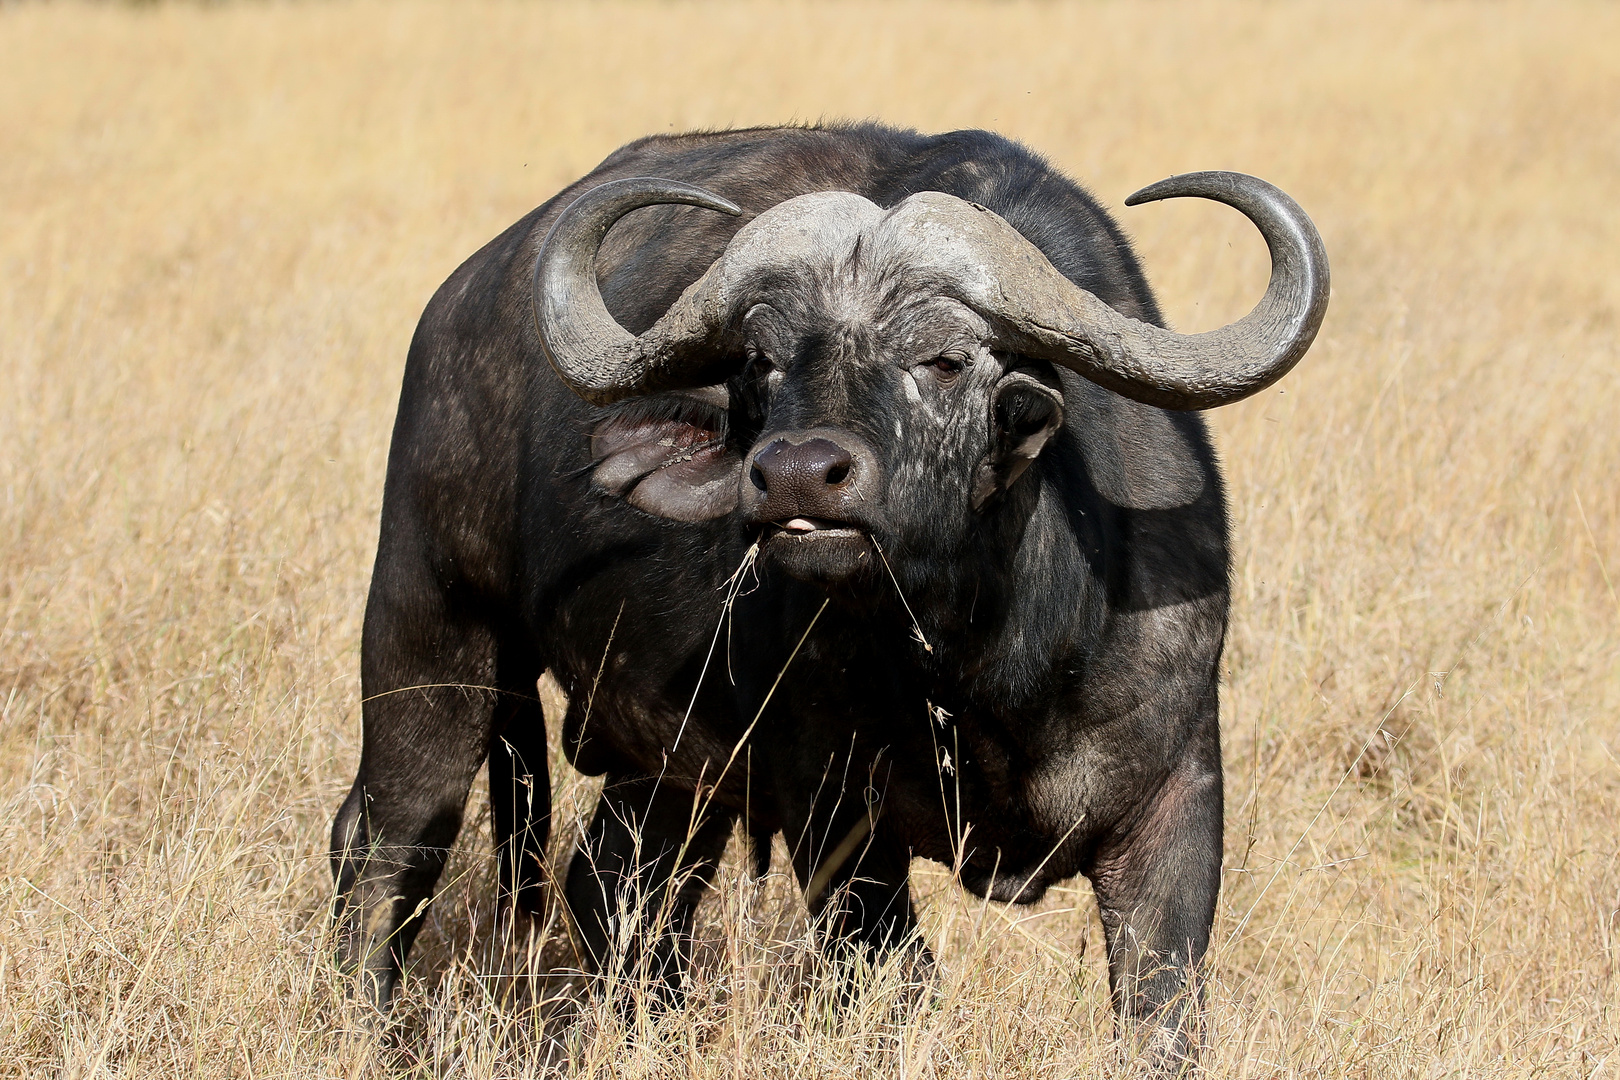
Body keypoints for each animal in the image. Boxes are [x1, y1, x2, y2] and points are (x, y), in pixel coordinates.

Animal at [332, 120, 1328, 1062]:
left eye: (944, 360)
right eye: (763, 363)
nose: (798, 475)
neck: (989, 663)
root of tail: (458, 303)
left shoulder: (1176, 800)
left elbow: (1162, 1008)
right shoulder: (834, 814)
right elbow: (901, 981)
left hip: (666, 760)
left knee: (617, 881)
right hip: (431, 629)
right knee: (388, 844)